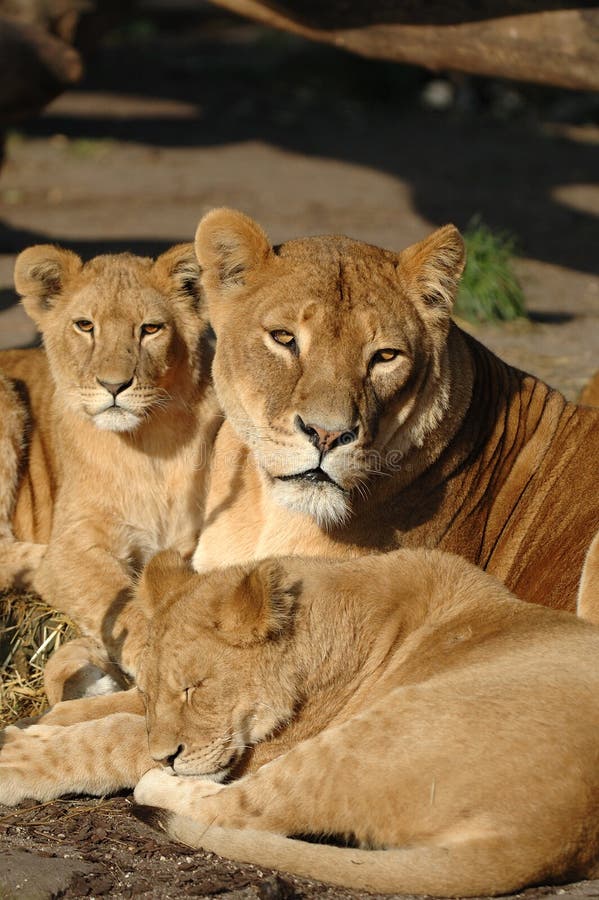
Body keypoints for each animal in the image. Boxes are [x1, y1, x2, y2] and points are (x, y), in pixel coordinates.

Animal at [0, 244, 220, 699]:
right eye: (85, 326)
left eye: (150, 329)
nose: (114, 386)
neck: (149, 448)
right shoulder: (74, 547)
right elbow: (126, 604)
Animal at [2, 549, 599, 898]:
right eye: (153, 692)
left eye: (194, 689)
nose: (165, 755)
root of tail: (548, 838)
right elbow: (105, 711)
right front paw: (35, 724)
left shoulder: (259, 744)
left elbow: (111, 738)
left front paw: (17, 759)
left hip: (384, 727)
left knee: (241, 811)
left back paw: (157, 785)